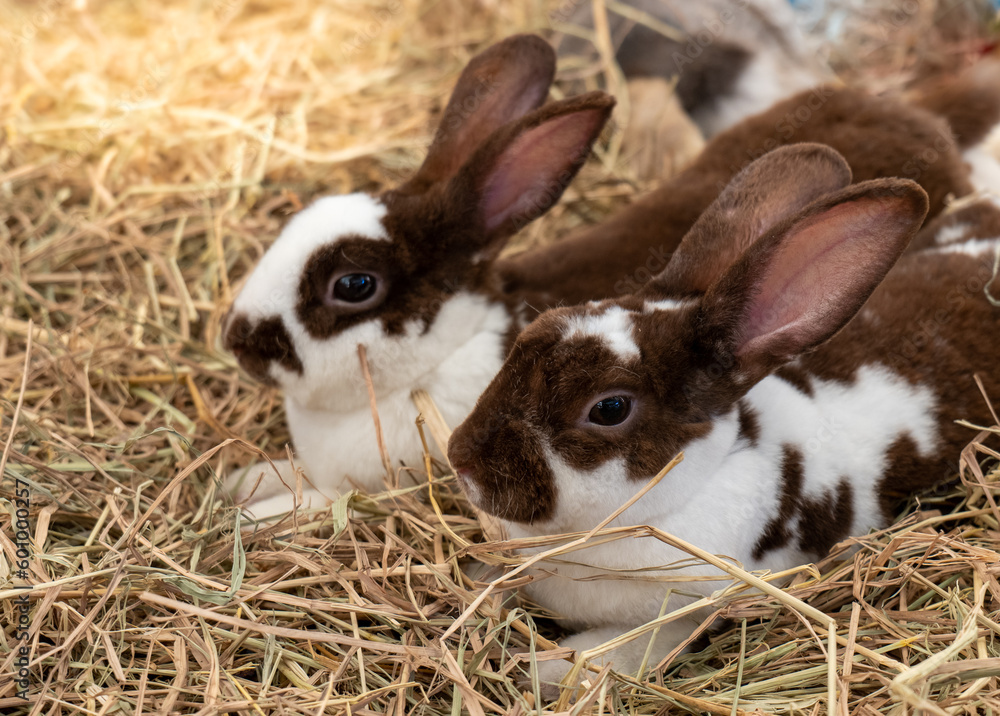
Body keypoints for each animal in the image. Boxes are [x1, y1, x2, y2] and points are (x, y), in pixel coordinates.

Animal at [222, 28, 997, 521]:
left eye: (353, 286)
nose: (237, 342)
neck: (441, 352)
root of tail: (922, 121)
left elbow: (332, 502)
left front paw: (260, 514)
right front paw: (241, 482)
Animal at [447, 142, 1000, 694]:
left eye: (609, 408)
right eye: (533, 331)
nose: (461, 461)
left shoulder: (686, 614)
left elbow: (610, 652)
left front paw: (546, 670)